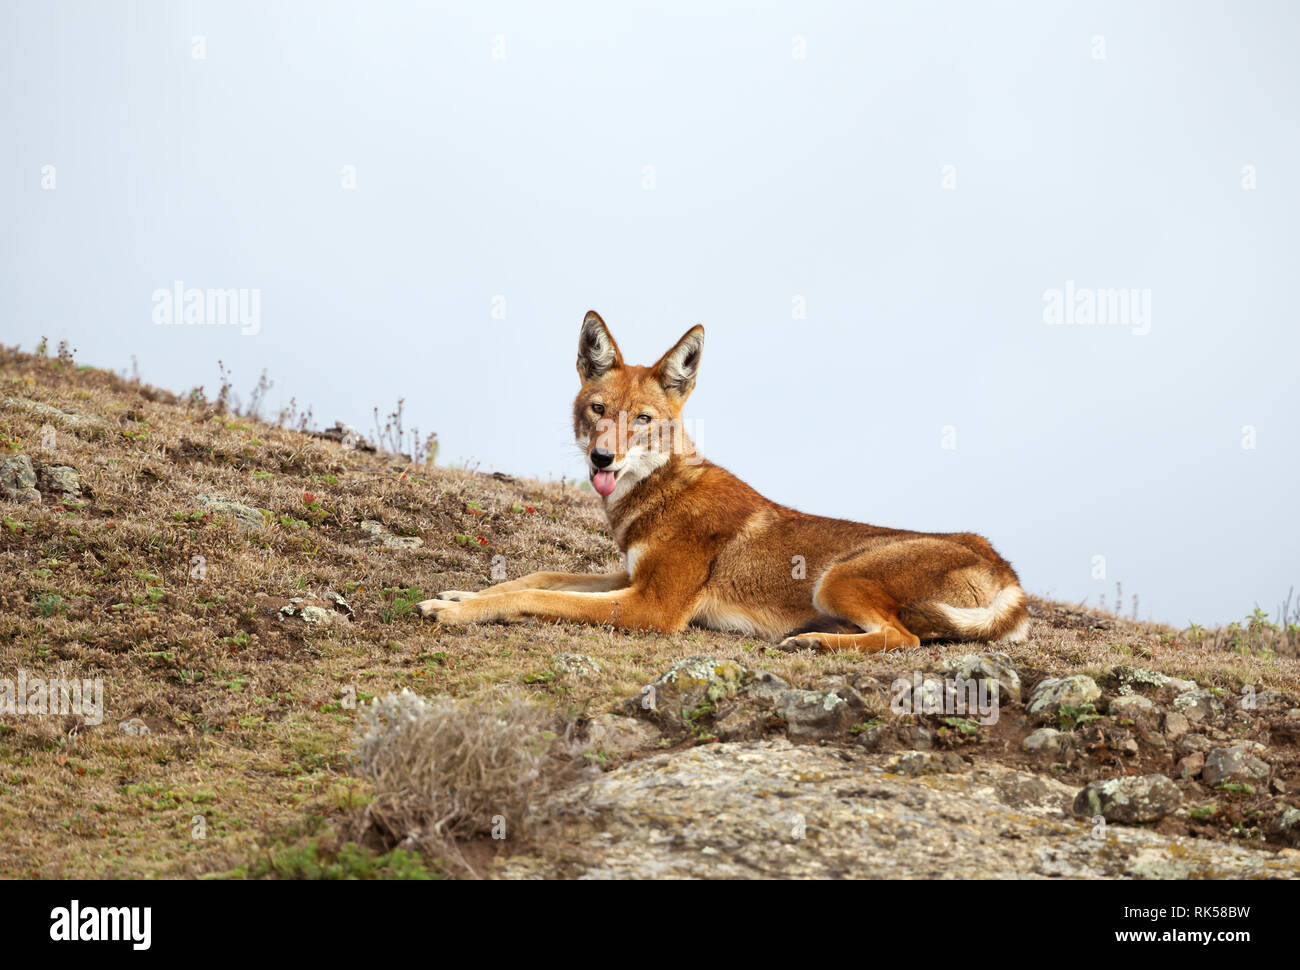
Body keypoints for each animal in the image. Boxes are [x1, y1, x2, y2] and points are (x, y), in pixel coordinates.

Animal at [418, 310, 1029, 652]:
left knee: (904, 638)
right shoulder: (629, 576)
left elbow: (536, 597)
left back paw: (812, 642)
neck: (661, 494)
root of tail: (1004, 566)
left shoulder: (654, 608)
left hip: (834, 579)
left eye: (642, 419)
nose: (602, 460)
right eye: (598, 409)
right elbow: (540, 577)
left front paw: (455, 612)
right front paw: (460, 593)